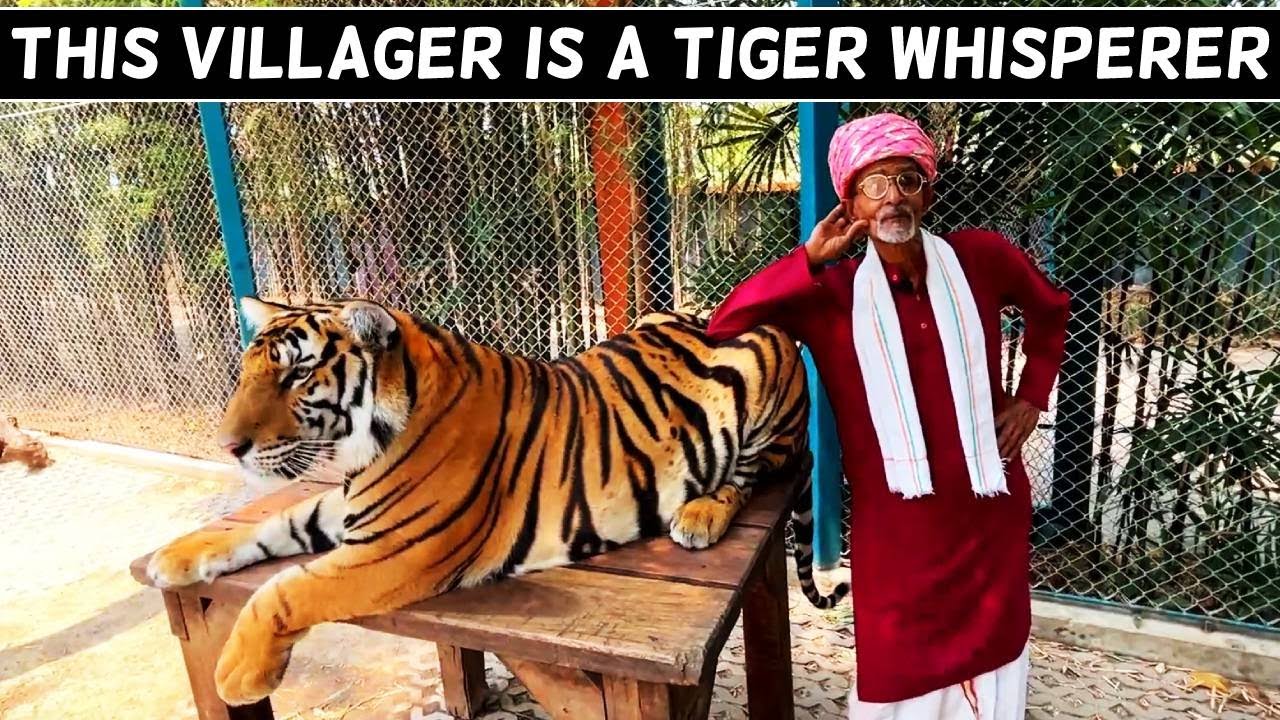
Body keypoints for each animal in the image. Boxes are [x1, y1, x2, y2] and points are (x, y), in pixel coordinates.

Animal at [146, 296, 849, 706]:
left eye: (296, 374)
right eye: (248, 371)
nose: (229, 445)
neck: (365, 450)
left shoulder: (396, 548)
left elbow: (284, 591)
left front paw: (236, 675)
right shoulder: (346, 511)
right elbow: (259, 529)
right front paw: (175, 557)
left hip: (763, 397)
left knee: (749, 477)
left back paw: (698, 515)